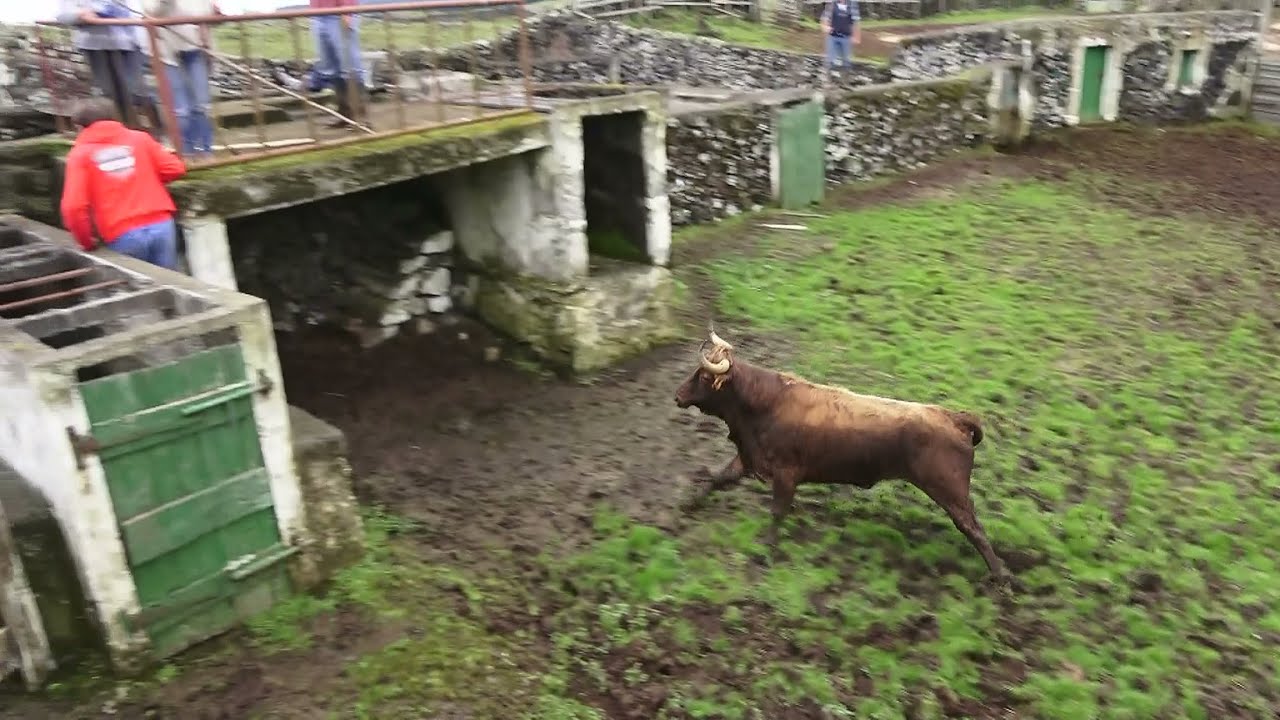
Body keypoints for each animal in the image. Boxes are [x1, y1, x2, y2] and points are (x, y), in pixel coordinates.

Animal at [674, 329, 1009, 582]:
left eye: (704, 377)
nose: (677, 395)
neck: (766, 403)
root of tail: (955, 417)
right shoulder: (749, 458)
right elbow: (719, 478)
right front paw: (689, 504)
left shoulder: (786, 474)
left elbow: (777, 512)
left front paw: (765, 550)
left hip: (949, 491)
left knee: (973, 528)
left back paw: (1000, 577)